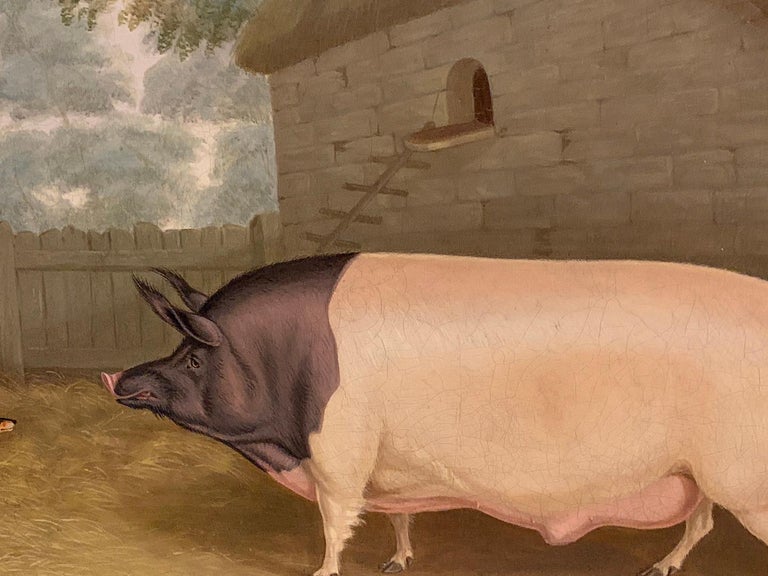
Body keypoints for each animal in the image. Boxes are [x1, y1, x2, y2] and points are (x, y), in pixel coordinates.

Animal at [101, 252, 768, 576]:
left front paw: (322, 574)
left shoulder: (341, 450)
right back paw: (657, 570)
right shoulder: (391, 466)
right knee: (701, 524)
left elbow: (335, 522)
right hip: (701, 476)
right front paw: (395, 564)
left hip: (747, 481)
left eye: (193, 357)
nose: (115, 377)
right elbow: (399, 517)